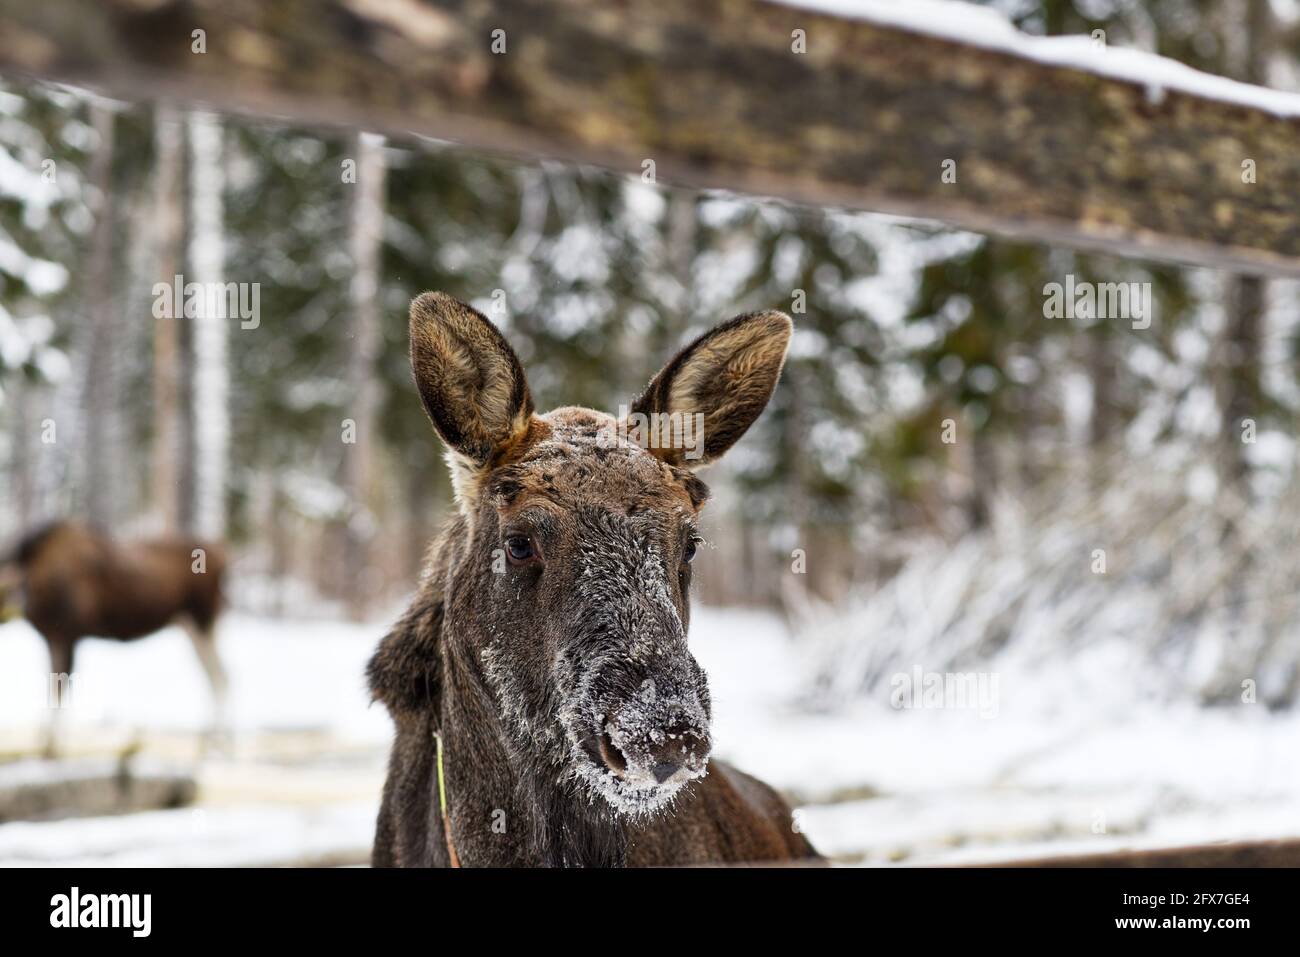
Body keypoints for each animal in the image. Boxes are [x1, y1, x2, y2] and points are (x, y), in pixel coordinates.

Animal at [0, 521, 229, 757]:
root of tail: (223, 555)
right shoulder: (52, 637)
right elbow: (53, 685)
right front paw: (45, 740)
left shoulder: (68, 635)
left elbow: (60, 687)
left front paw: (54, 745)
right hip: (188, 623)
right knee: (217, 675)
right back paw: (213, 737)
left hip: (203, 619)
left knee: (221, 676)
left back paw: (217, 738)